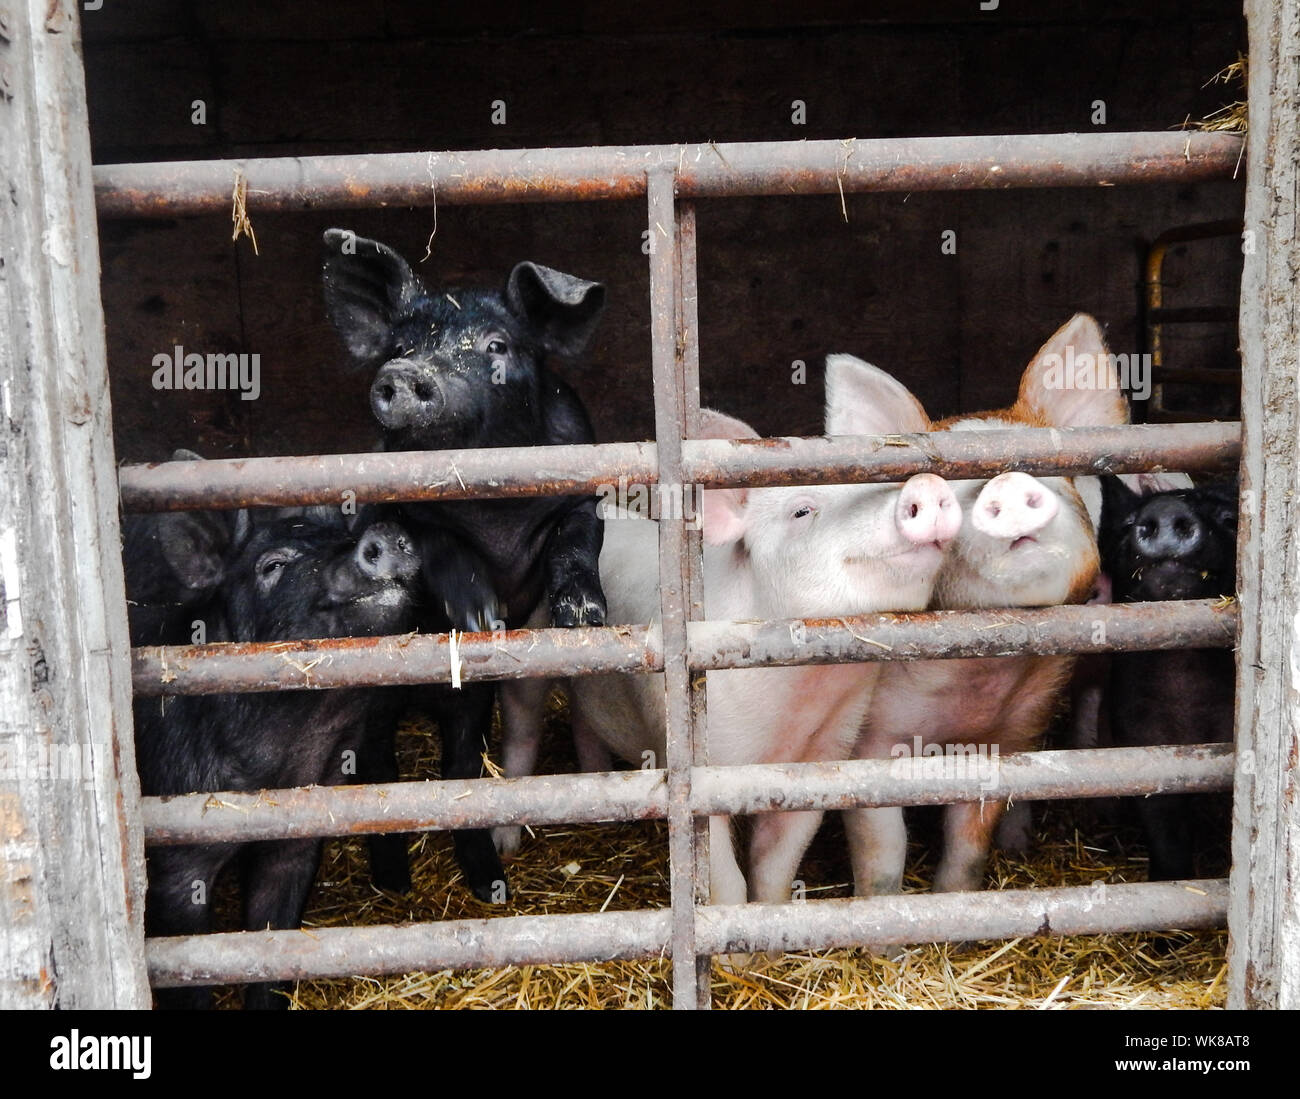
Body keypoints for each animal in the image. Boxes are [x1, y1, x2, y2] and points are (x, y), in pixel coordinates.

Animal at [135, 512, 428, 1009]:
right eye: (272, 565)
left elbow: (273, 949)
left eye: (342, 535)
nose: (387, 534)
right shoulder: (175, 862)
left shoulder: (298, 839)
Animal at [322, 230, 608, 901]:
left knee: (460, 764)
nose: (405, 374)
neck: (491, 510)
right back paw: (394, 885)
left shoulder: (581, 494)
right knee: (379, 768)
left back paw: (490, 885)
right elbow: (432, 537)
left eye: (497, 345)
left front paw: (582, 617)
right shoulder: (394, 505)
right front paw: (479, 615)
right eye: (399, 347)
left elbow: (575, 542)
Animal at [495, 356, 961, 907]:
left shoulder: (822, 760)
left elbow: (775, 866)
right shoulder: (695, 764)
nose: (924, 487)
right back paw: (504, 846)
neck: (800, 699)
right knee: (521, 731)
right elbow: (726, 880)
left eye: (884, 483)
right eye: (801, 510)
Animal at [842, 313, 1127, 897]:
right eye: (942, 494)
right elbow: (883, 850)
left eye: (1052, 470)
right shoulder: (868, 742)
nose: (1009, 482)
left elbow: (969, 846)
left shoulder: (1003, 740)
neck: (977, 677)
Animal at [1099, 475, 1237, 880]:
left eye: (1229, 518)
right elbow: (1166, 836)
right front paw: (1167, 880)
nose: (1166, 509)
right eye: (1127, 524)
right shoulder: (1141, 737)